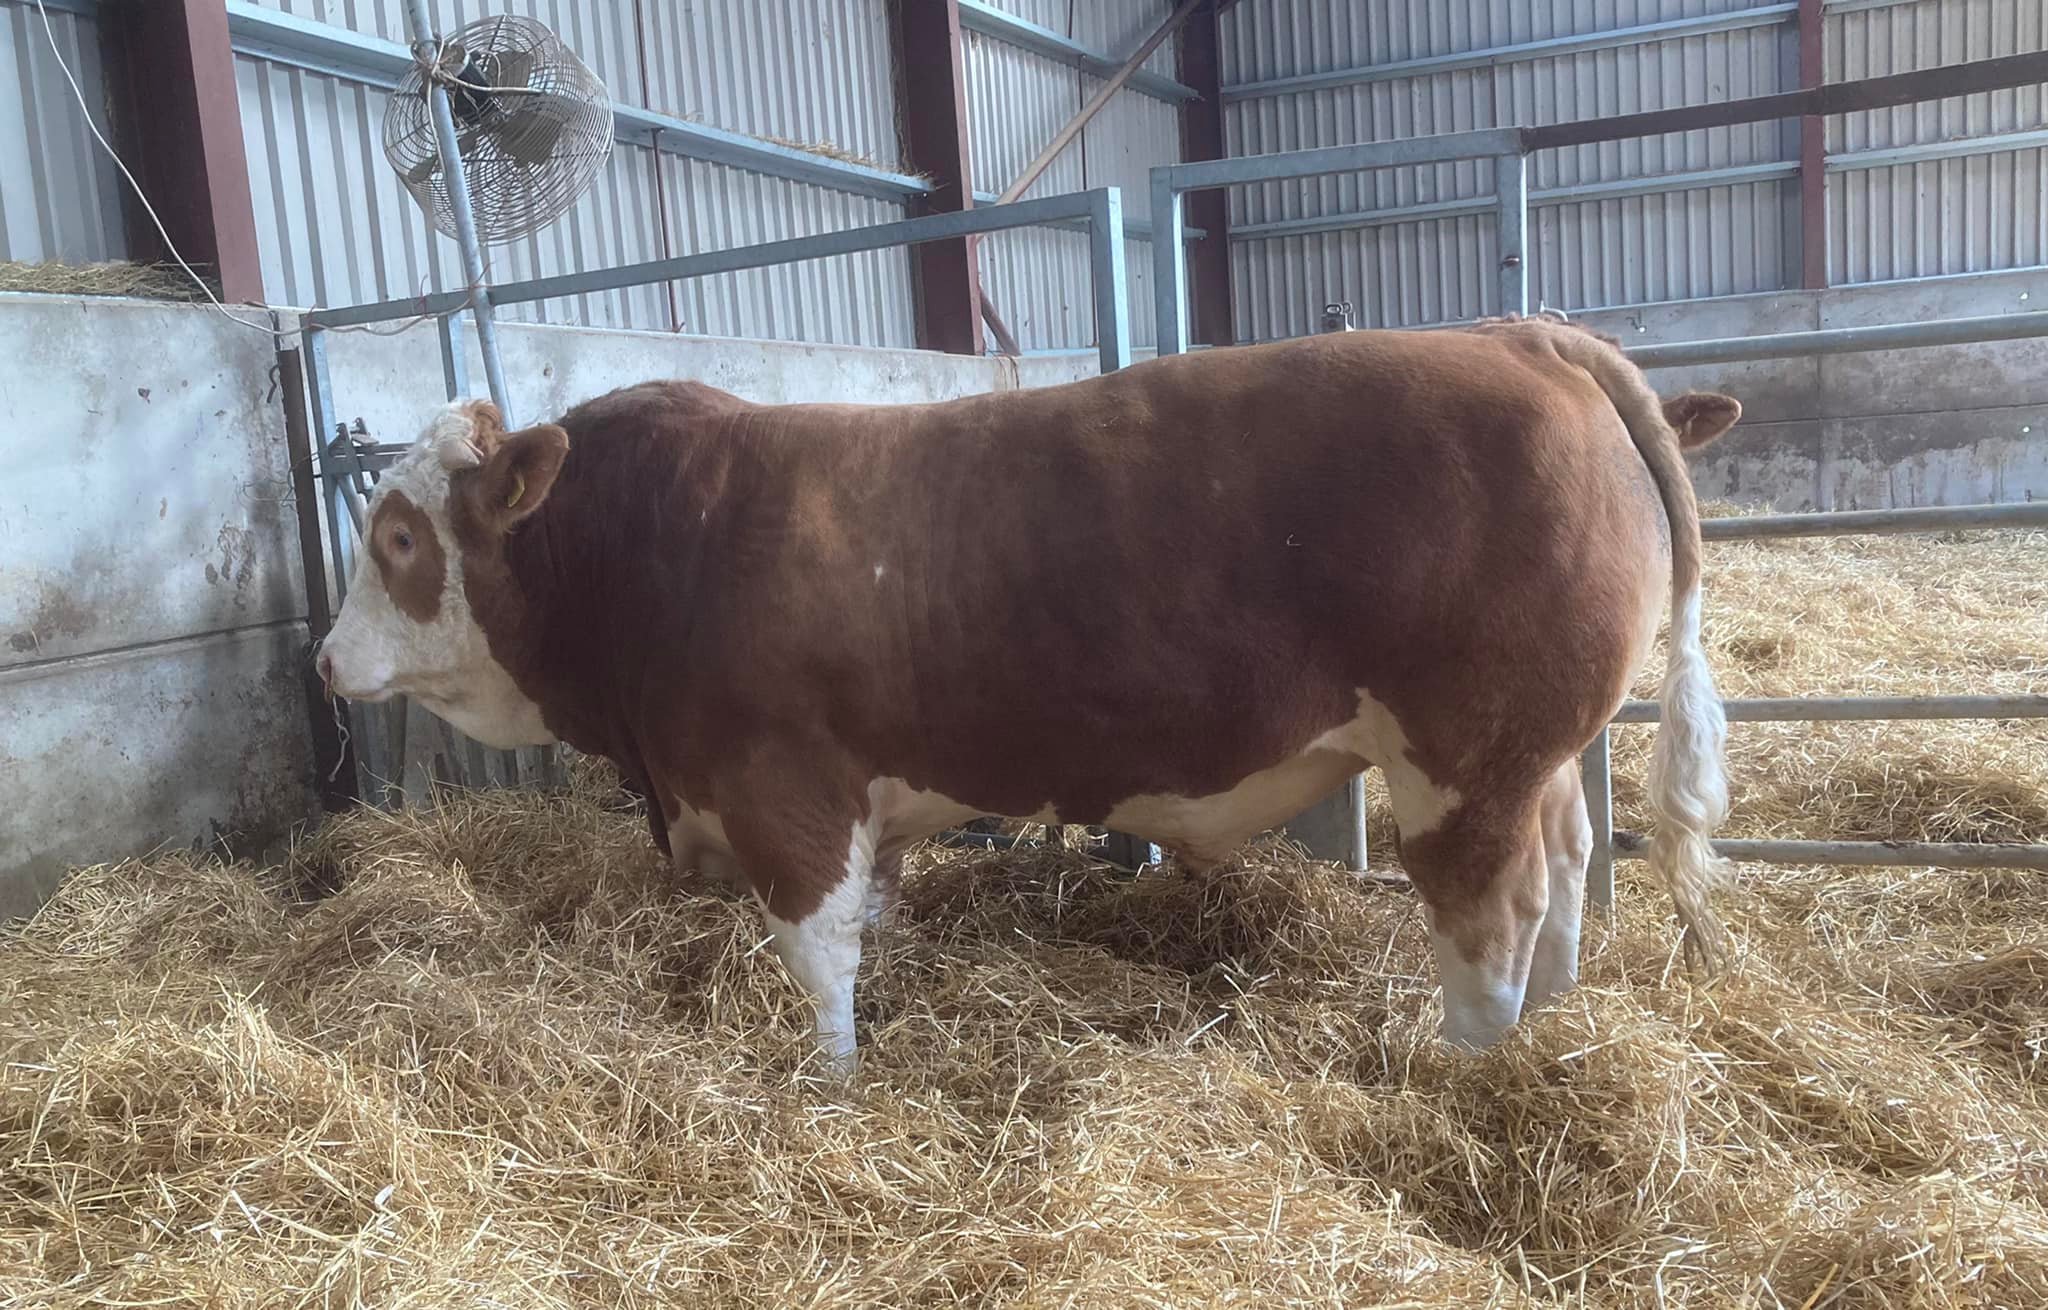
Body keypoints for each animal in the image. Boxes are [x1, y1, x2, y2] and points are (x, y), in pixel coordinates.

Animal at [316, 318, 1742, 1069]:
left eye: (398, 535)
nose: (324, 659)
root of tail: (1523, 335)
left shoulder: (785, 790)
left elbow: (818, 962)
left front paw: (826, 1083)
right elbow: (870, 922)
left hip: (1460, 764)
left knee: (1489, 921)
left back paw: (1465, 1069)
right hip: (1531, 752)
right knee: (1569, 863)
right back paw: (1553, 1028)